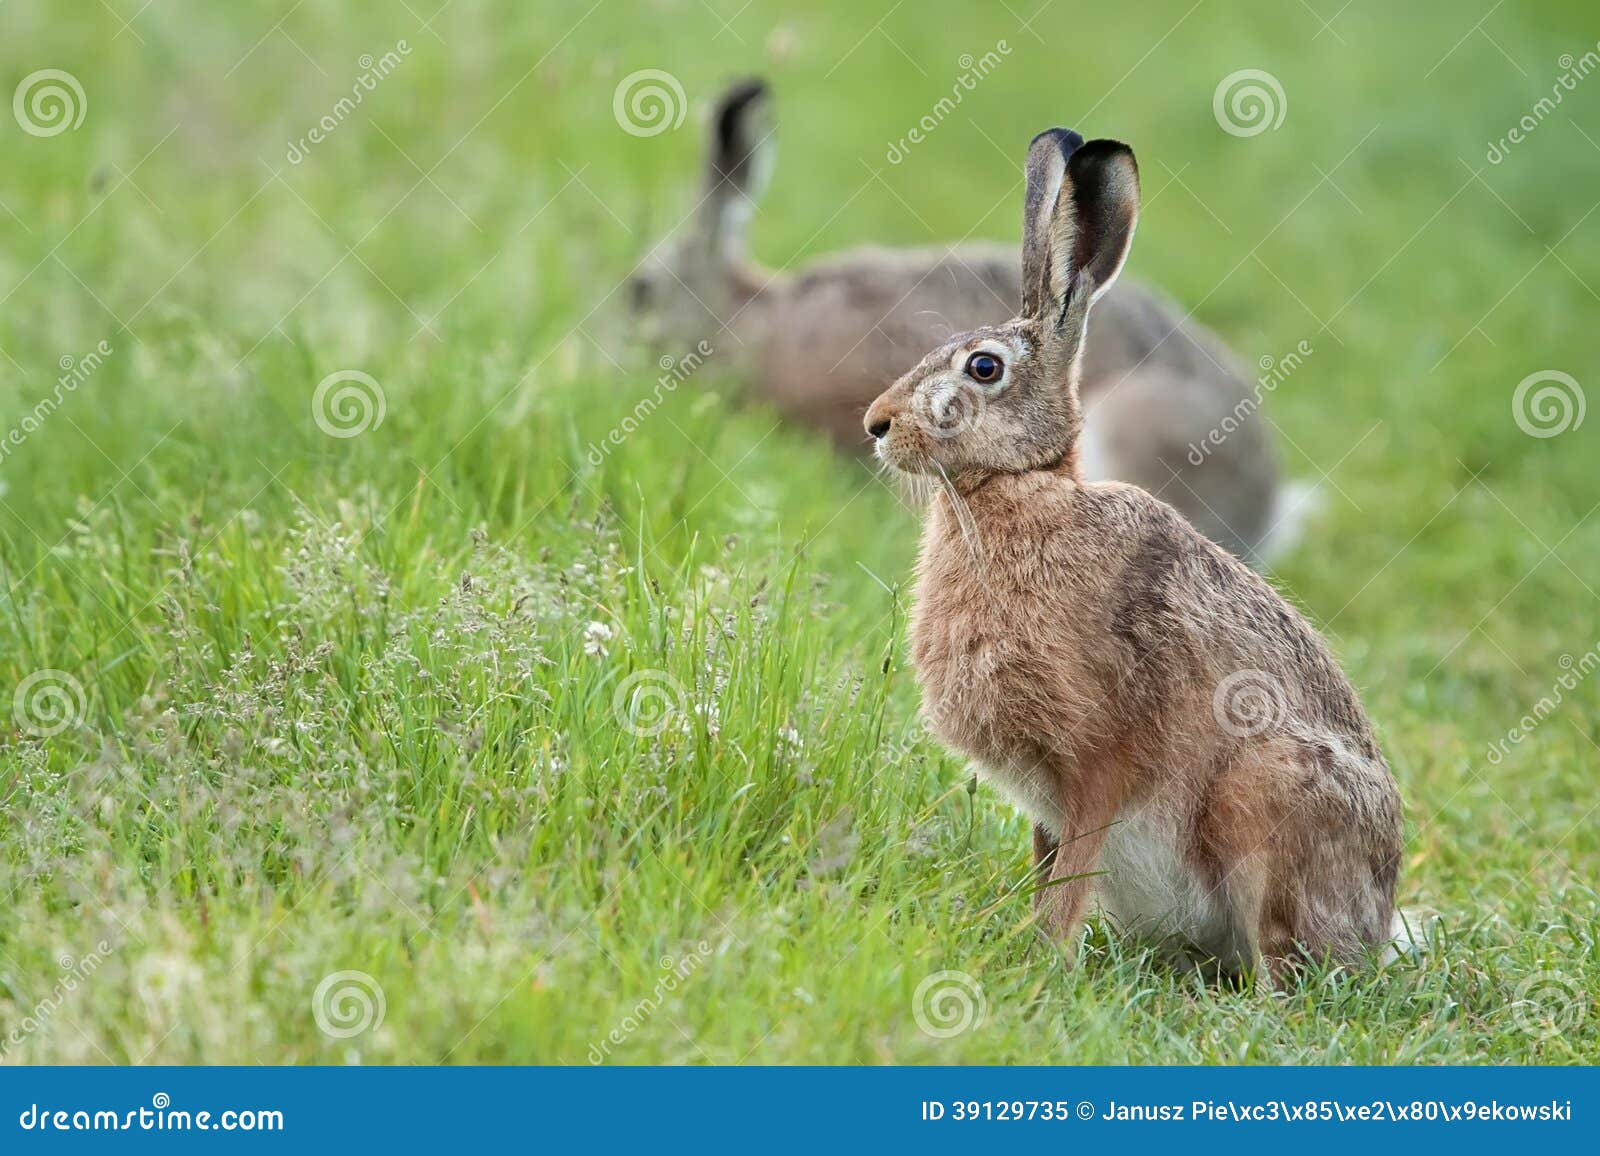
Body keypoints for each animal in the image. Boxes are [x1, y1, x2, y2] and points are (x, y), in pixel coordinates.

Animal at [861, 128, 1404, 981]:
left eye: (983, 367)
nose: (876, 424)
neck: (1024, 487)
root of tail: (1375, 926)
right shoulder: (1044, 797)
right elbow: (1047, 865)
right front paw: (1025, 949)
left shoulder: (1098, 757)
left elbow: (1072, 874)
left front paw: (1041, 963)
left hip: (1265, 794)